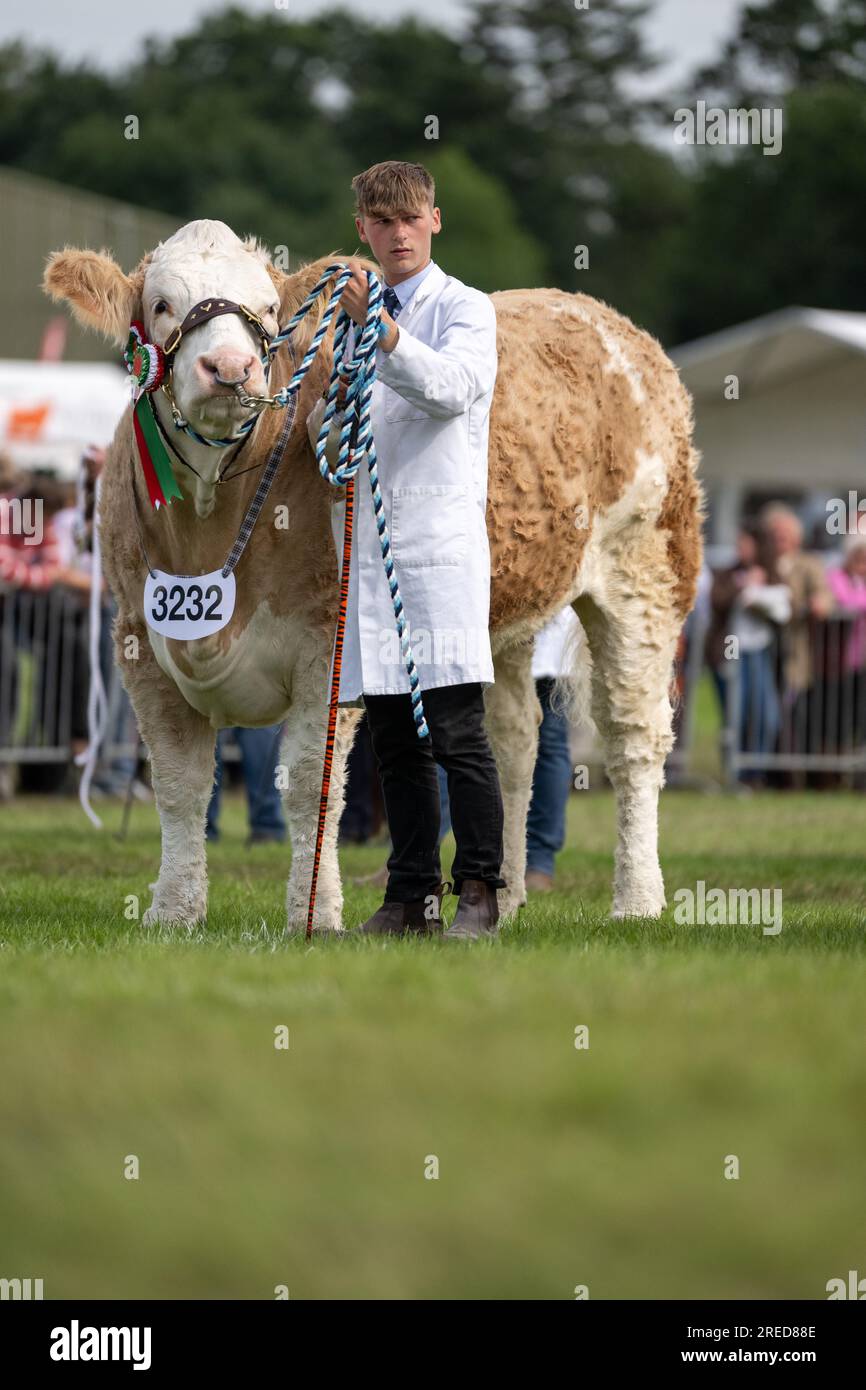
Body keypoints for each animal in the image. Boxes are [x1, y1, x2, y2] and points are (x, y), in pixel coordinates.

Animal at [43, 218, 704, 932]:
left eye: (269, 311)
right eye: (162, 304)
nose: (230, 369)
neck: (210, 516)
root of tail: (593, 312)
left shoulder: (325, 652)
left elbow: (313, 784)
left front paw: (315, 913)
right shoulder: (139, 642)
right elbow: (178, 783)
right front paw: (173, 912)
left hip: (645, 574)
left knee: (633, 738)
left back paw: (637, 899)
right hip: (499, 617)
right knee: (512, 740)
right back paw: (504, 896)